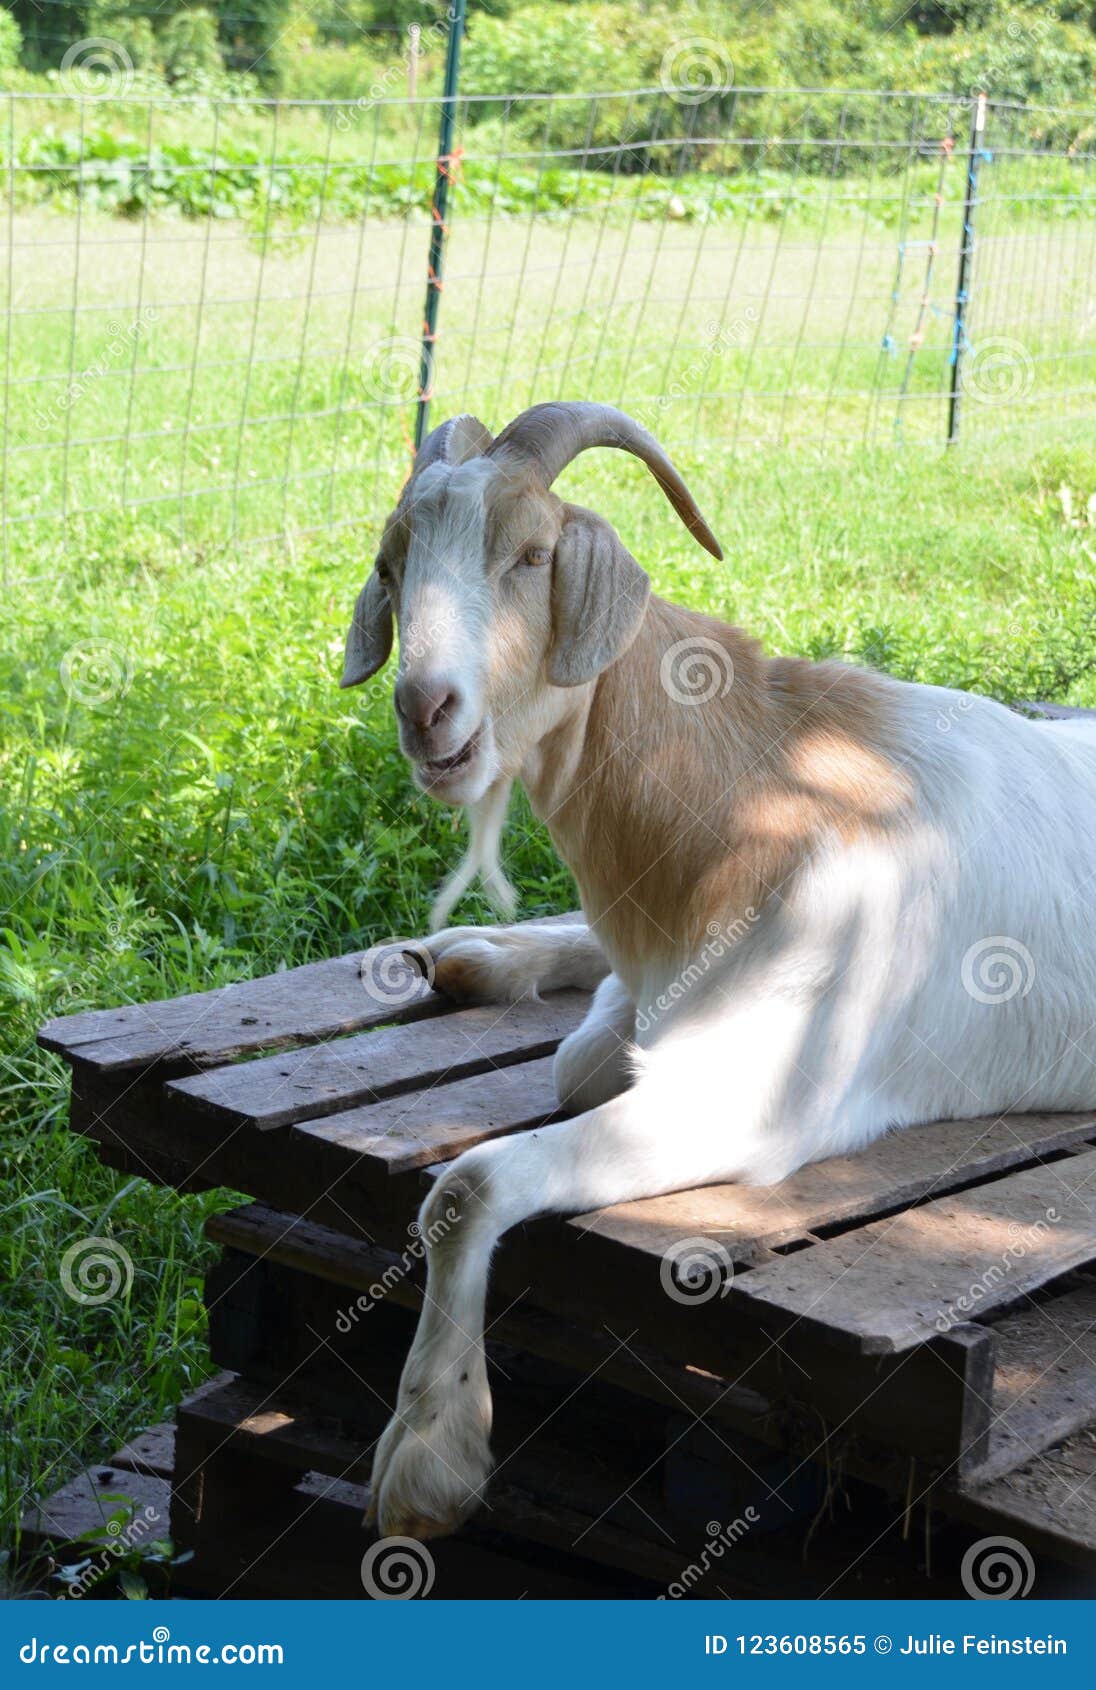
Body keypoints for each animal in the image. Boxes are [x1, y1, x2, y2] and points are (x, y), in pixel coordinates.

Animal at [340, 401, 1096, 1541]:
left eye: (530, 556)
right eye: (393, 563)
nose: (428, 710)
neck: (763, 794)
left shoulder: (755, 1101)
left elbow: (469, 1184)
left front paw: (430, 1456)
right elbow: (574, 1058)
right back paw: (472, 956)